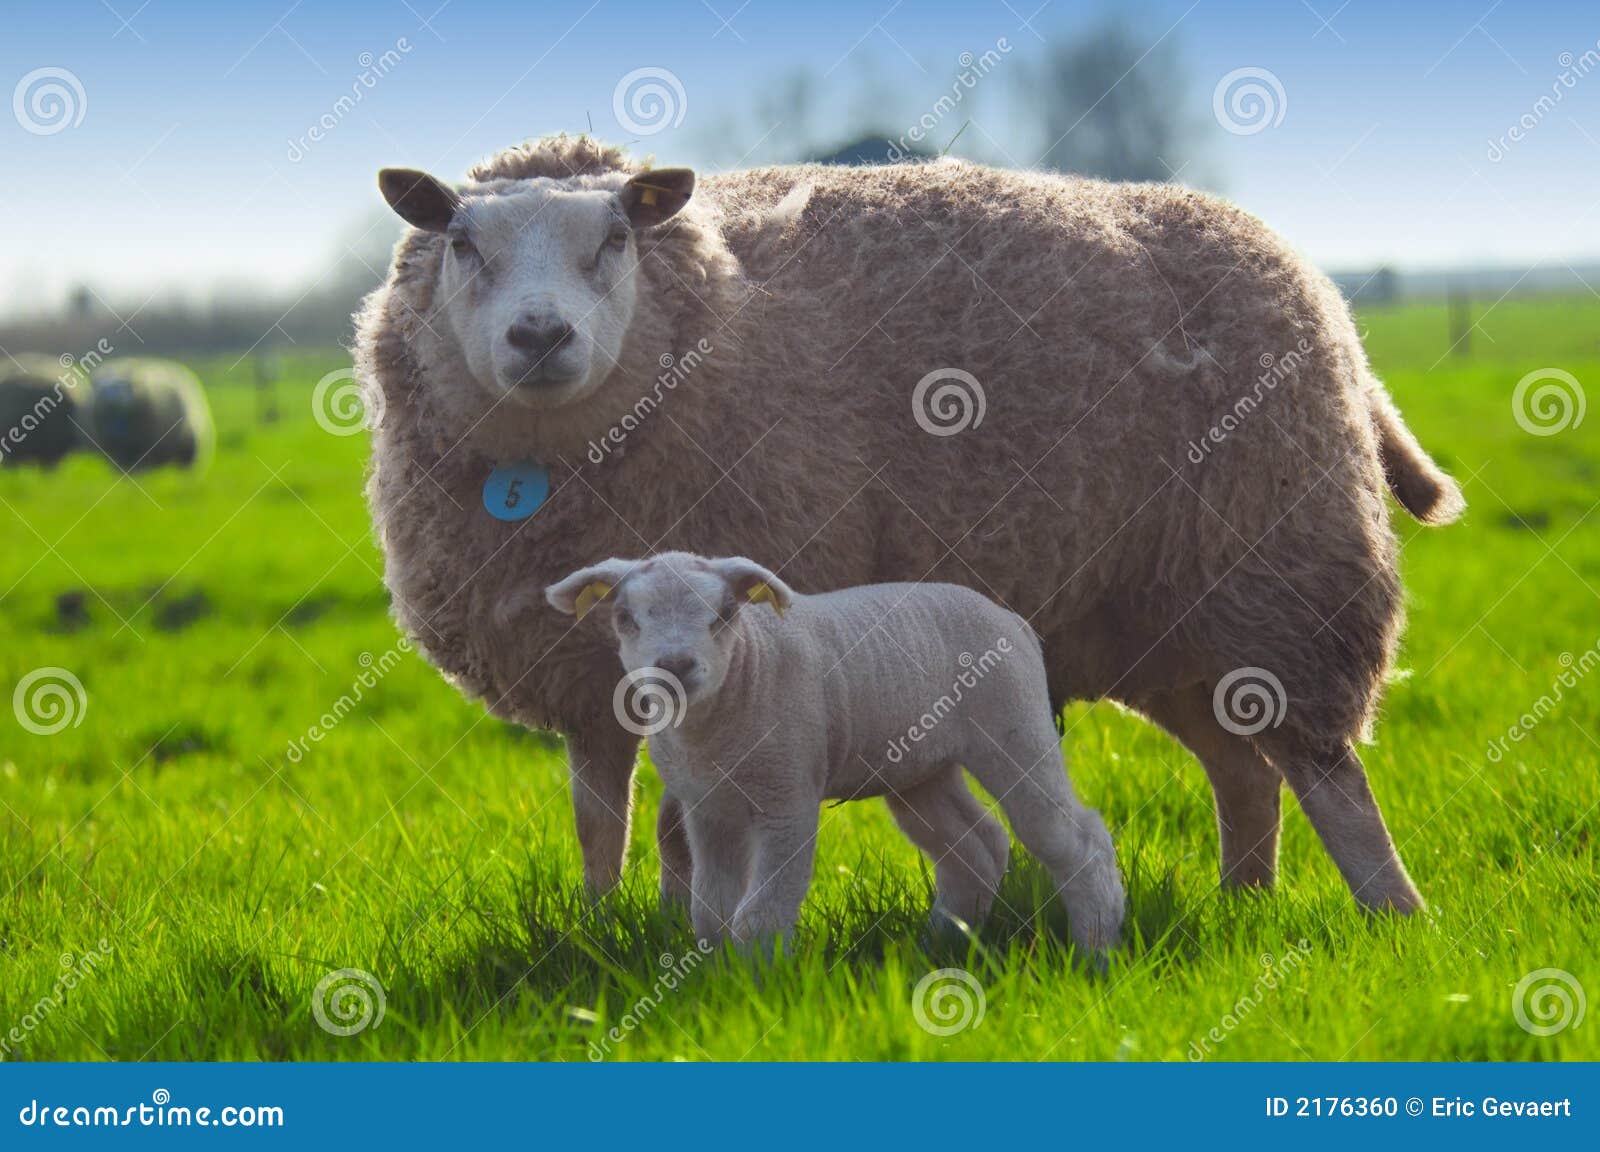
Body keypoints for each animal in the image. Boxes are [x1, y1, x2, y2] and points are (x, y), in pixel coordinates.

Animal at [545, 551, 1126, 954]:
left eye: (726, 613)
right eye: (624, 617)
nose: (675, 667)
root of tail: (1012, 620)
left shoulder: (786, 797)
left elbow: (760, 914)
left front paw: (756, 985)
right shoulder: (708, 809)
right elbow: (711, 909)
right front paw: (717, 978)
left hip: (1013, 724)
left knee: (1076, 839)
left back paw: (1095, 950)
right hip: (920, 766)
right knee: (976, 847)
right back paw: (938, 945)